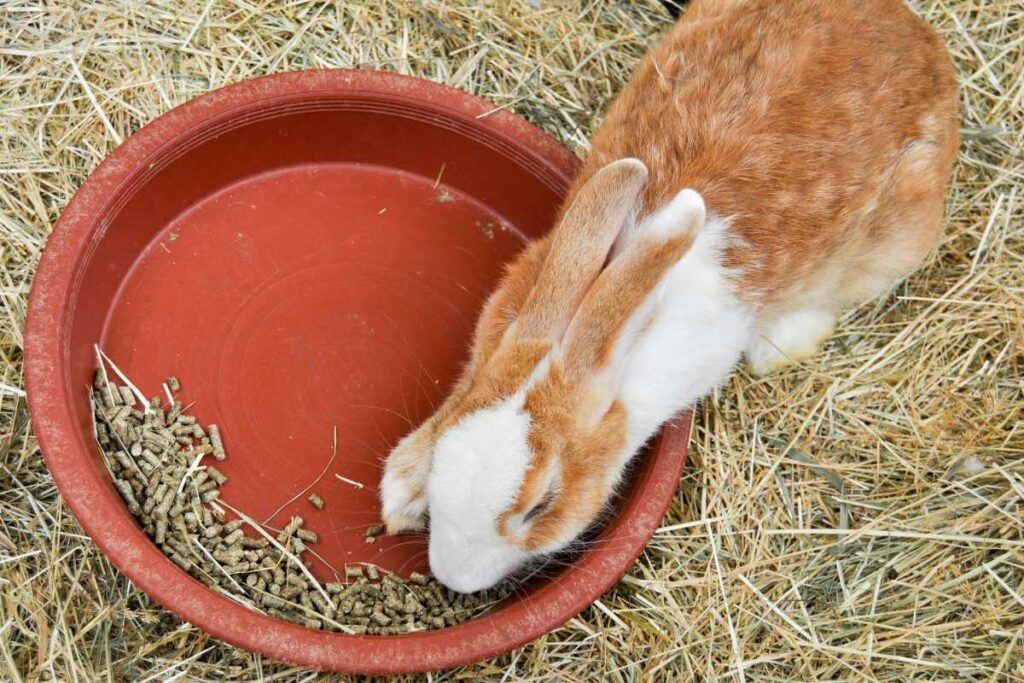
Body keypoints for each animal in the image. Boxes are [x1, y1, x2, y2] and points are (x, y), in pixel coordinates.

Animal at [381, 0, 960, 593]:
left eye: (542, 505)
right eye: (445, 456)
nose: (453, 577)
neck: (604, 337)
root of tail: (911, 28)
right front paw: (404, 490)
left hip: (897, 241)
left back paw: (780, 345)